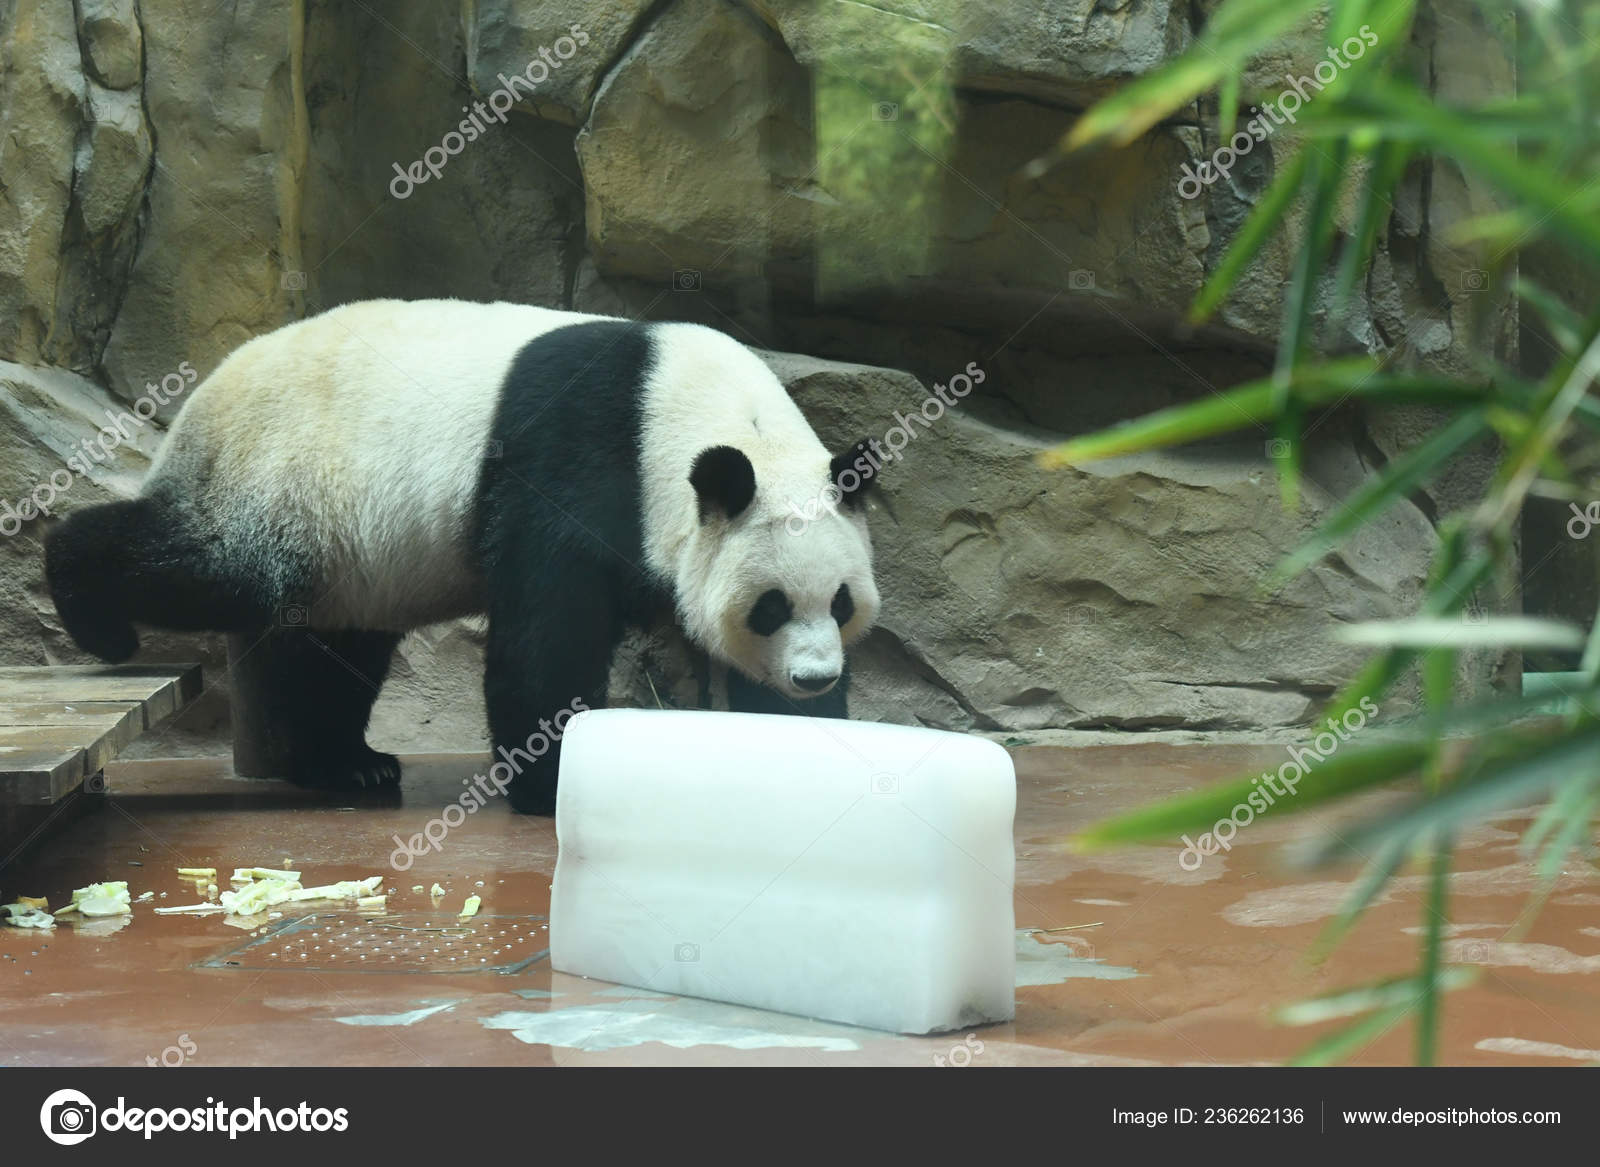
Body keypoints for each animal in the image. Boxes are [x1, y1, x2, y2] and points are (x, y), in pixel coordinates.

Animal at [43, 299, 880, 813]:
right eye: (769, 607)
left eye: (840, 602)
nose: (815, 675)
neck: (681, 403)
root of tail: (199, 400)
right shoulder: (576, 458)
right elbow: (546, 634)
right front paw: (549, 781)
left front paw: (810, 744)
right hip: (278, 480)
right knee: (216, 570)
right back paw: (86, 603)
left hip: (344, 550)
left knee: (330, 649)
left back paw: (345, 762)